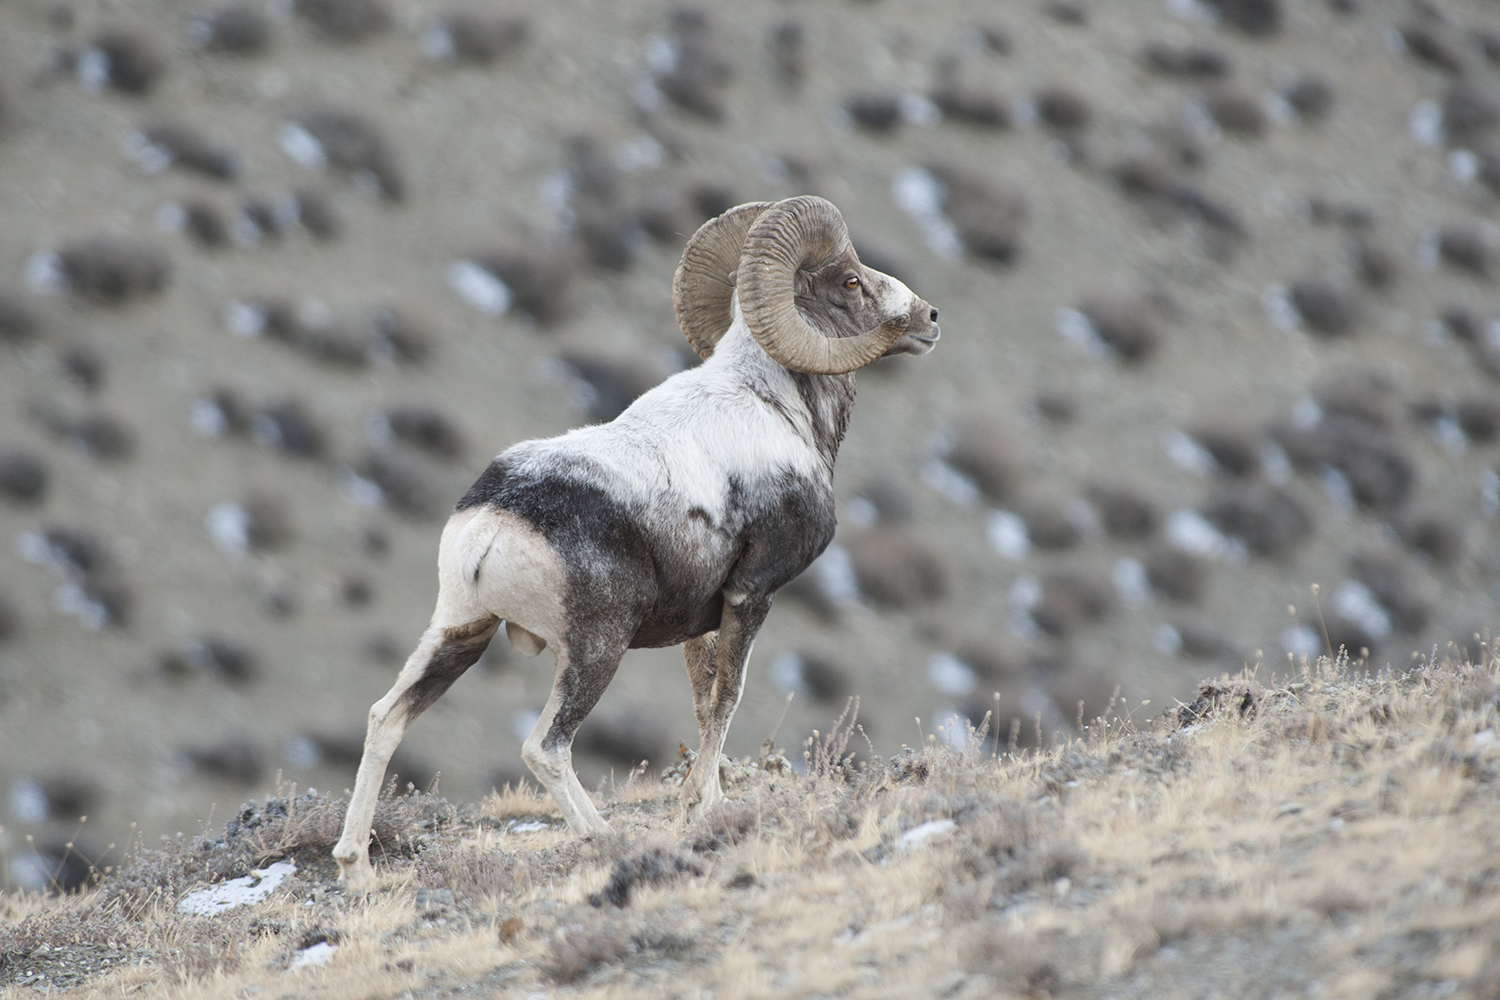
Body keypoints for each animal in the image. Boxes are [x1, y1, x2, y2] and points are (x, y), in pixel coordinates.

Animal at [333, 196, 939, 889]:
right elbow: (726, 700)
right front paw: (698, 807)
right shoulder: (750, 595)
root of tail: (493, 527)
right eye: (850, 281)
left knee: (387, 718)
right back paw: (603, 837)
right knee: (545, 747)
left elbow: (704, 705)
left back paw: (355, 869)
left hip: (461, 632)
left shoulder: (701, 623)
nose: (929, 319)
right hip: (596, 650)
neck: (779, 407)